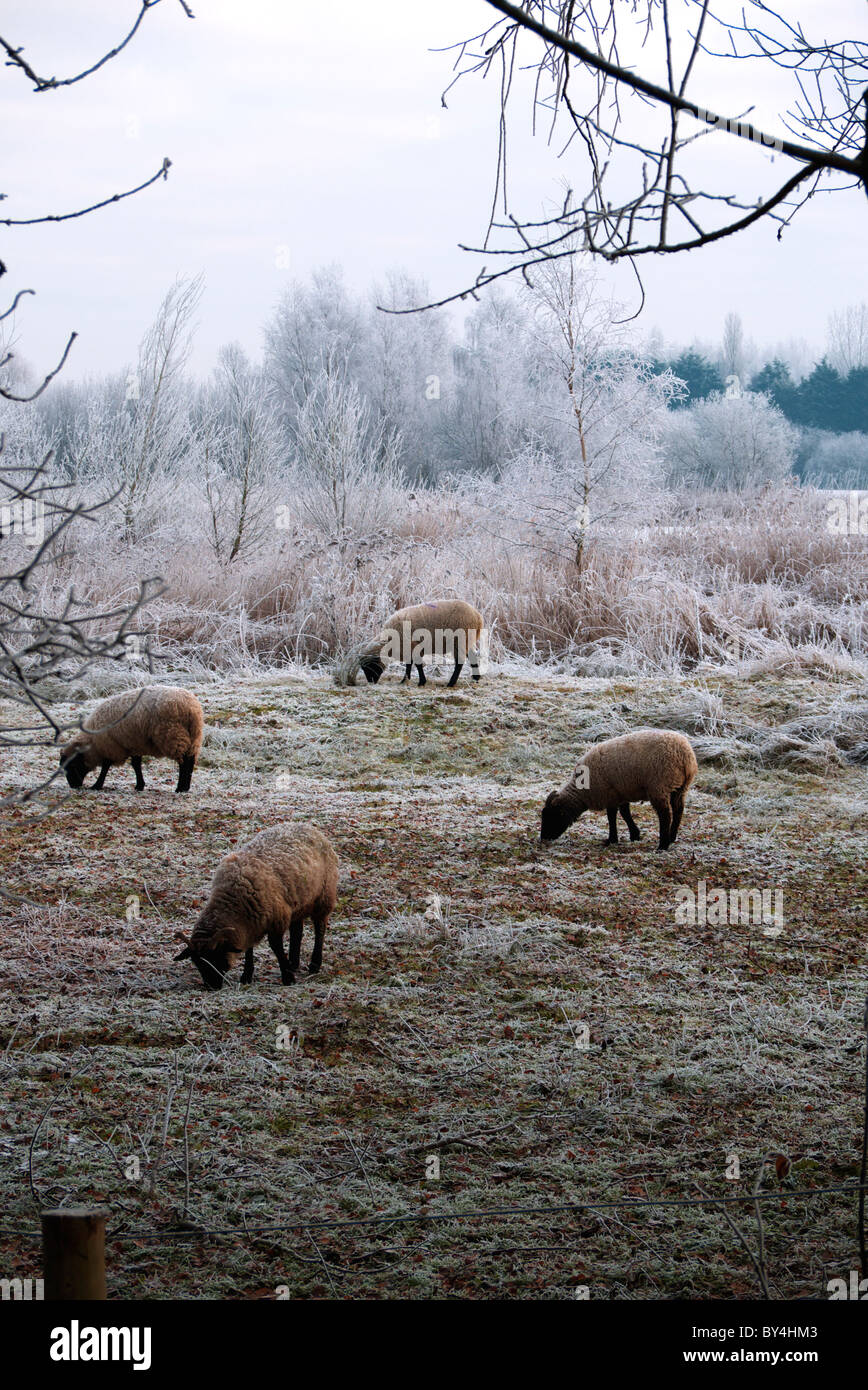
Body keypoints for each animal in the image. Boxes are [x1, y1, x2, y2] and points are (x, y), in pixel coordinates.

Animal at [59, 685, 204, 794]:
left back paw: (180, 788)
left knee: (184, 762)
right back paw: (185, 787)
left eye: (72, 765)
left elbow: (106, 766)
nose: (73, 786)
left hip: (173, 736)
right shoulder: (134, 744)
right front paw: (140, 785)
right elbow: (136, 765)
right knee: (190, 761)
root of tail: (191, 709)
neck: (93, 743)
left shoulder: (112, 746)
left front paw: (97, 785)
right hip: (194, 738)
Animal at [174, 823, 339, 990]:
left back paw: (314, 964)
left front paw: (288, 977)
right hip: (299, 903)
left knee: (320, 928)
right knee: (297, 932)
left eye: (215, 957)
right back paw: (294, 963)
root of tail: (309, 827)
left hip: (324, 896)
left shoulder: (277, 919)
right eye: (197, 962)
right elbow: (248, 948)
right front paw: (247, 975)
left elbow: (276, 948)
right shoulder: (251, 923)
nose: (211, 987)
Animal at [540, 728, 698, 851]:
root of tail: (684, 755)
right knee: (678, 810)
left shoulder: (610, 794)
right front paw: (635, 834)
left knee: (665, 815)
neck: (583, 791)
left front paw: (612, 839)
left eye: (551, 816)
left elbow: (612, 816)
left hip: (659, 786)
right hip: (680, 787)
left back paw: (663, 846)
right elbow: (625, 813)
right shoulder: (621, 792)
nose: (543, 839)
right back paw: (672, 837)